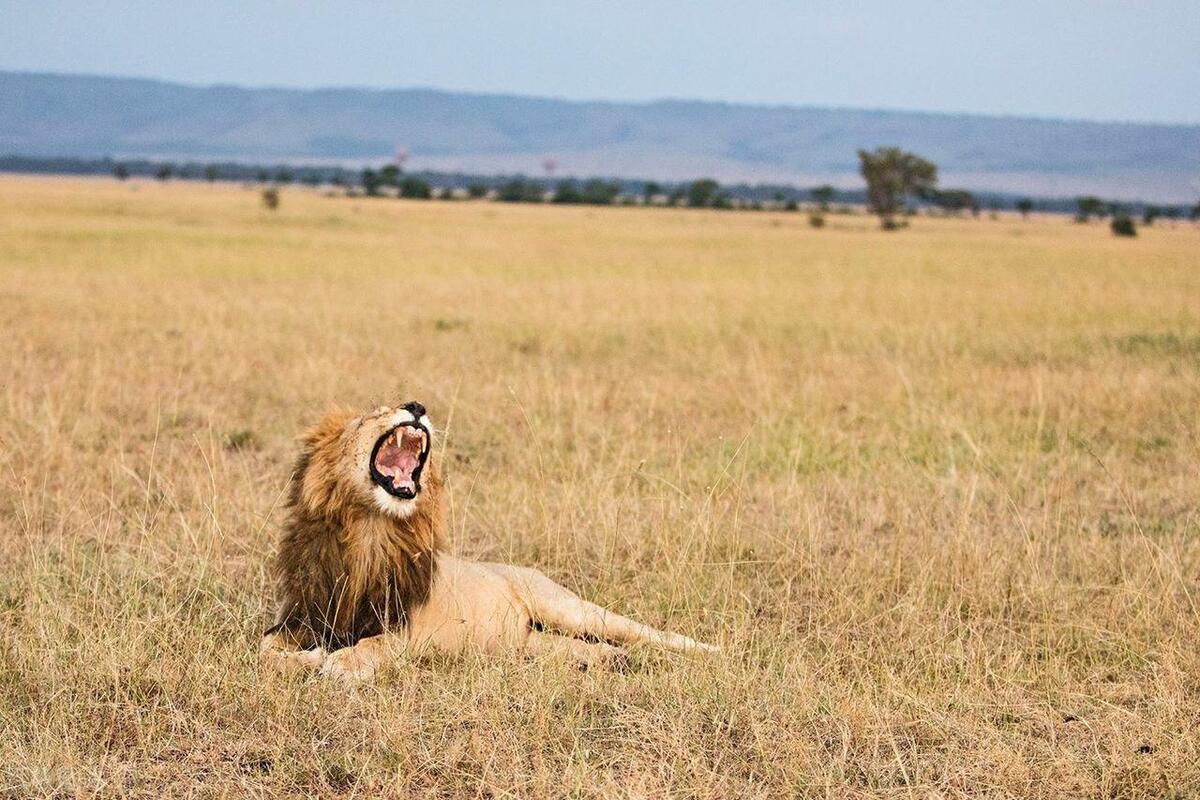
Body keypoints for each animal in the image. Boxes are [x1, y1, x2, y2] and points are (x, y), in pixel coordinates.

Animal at [261, 401, 718, 681]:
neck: (370, 529)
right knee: (564, 647)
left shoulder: (407, 625)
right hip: (529, 643)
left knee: (651, 634)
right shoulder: (303, 614)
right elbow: (264, 649)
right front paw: (301, 659)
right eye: (374, 414)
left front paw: (335, 661)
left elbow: (372, 645)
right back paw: (614, 660)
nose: (417, 407)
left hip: (569, 608)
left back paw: (710, 652)